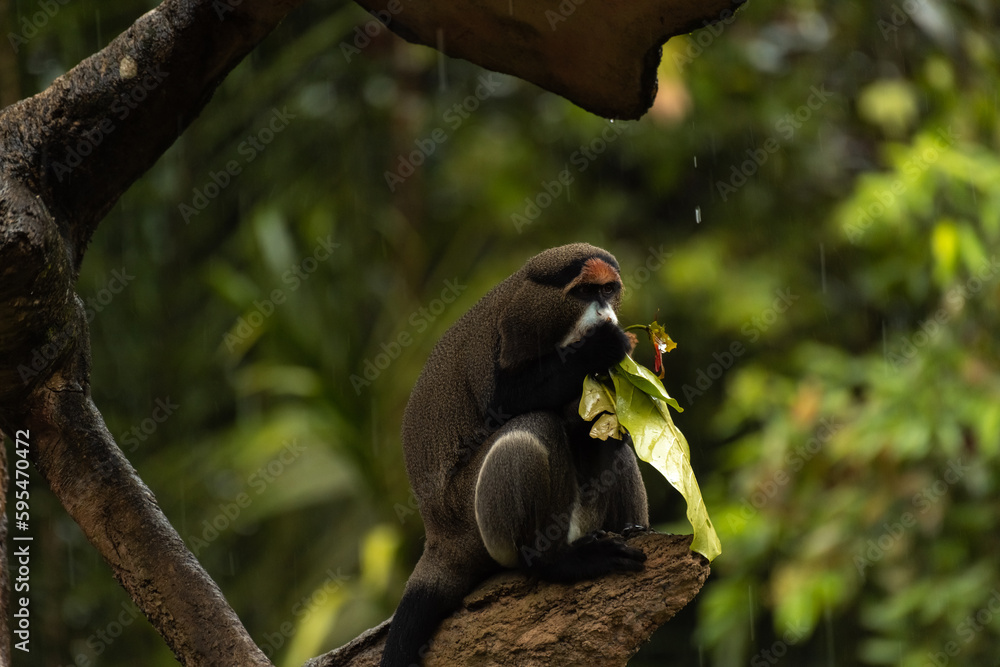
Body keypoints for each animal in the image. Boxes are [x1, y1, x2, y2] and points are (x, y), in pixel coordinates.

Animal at [380, 243, 649, 667]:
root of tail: (439, 538)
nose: (605, 314)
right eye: (584, 292)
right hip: (471, 518)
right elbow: (505, 404)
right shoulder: (513, 331)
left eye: (608, 290)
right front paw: (603, 348)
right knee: (532, 427)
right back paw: (557, 561)